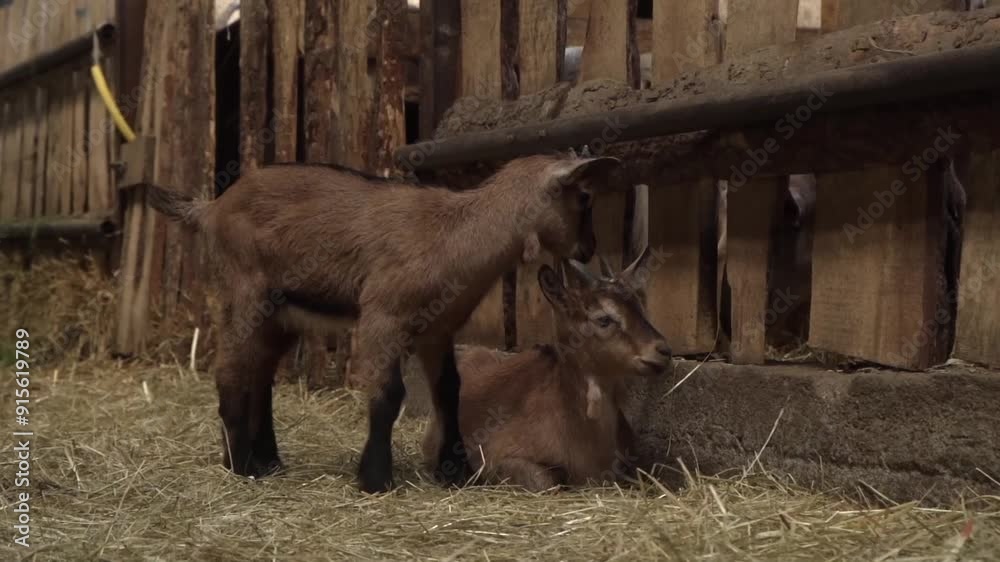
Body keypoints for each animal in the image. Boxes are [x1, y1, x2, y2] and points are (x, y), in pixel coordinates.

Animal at [145, 154, 622, 493]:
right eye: (583, 197)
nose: (589, 246)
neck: (453, 232)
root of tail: (210, 208)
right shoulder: (382, 316)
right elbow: (388, 395)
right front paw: (375, 478)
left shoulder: (437, 330)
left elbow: (449, 391)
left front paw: (455, 471)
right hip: (243, 293)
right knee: (230, 370)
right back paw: (242, 466)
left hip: (280, 315)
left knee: (259, 374)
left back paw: (266, 462)